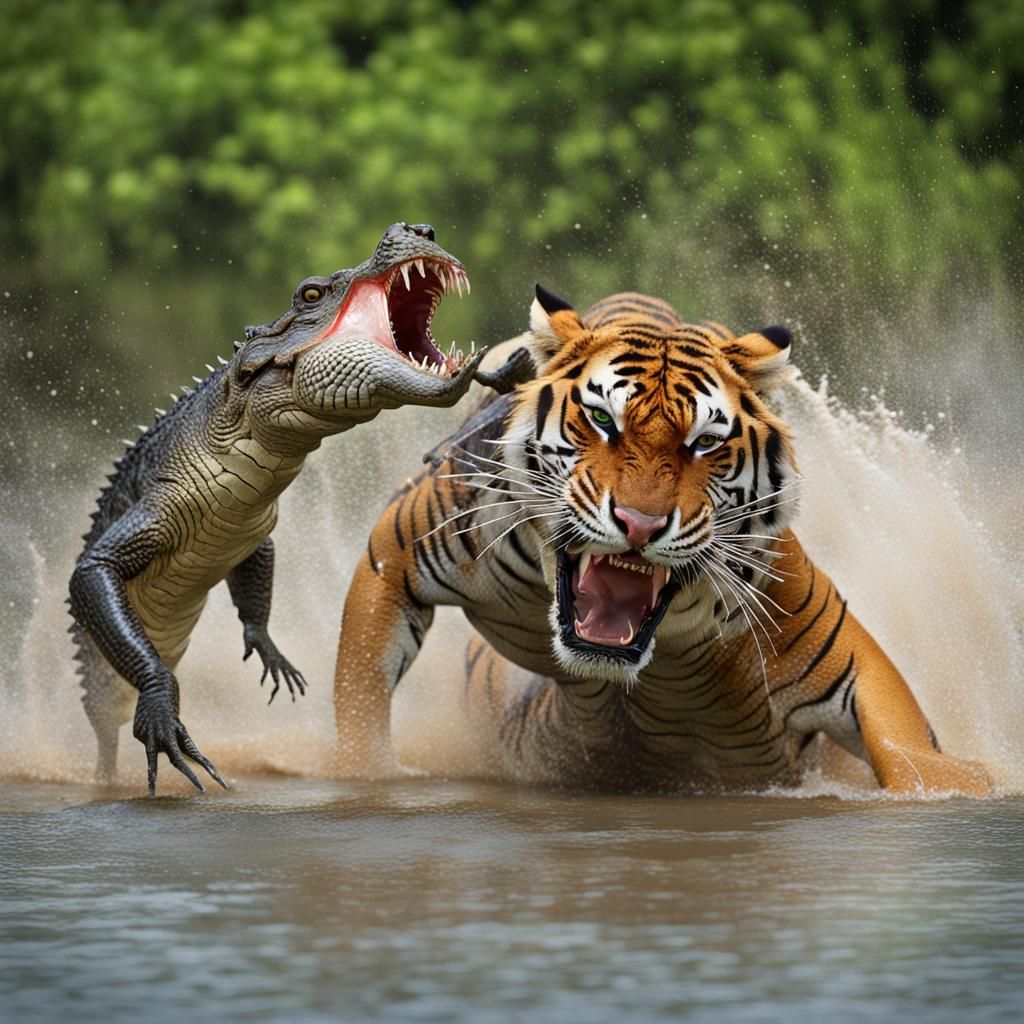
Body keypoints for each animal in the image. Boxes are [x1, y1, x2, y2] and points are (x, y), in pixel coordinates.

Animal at [332, 286, 993, 795]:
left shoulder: (840, 649)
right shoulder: (394, 555)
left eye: (704, 443)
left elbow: (910, 757)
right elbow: (360, 706)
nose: (641, 524)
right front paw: (365, 782)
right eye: (602, 420)